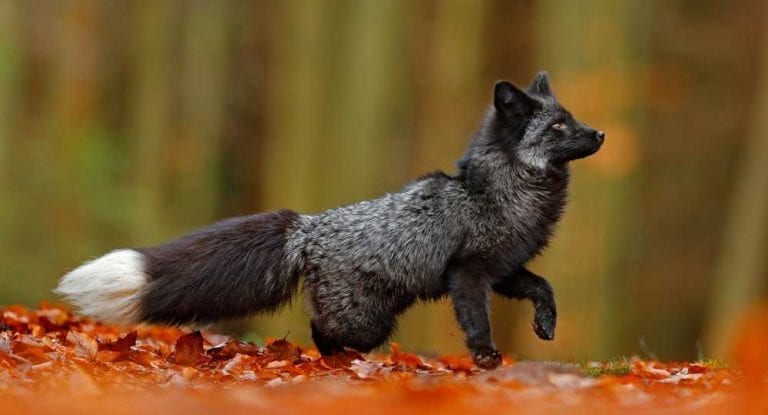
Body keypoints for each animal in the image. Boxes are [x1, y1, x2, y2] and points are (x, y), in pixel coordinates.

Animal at [56, 72, 604, 369]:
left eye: (573, 119)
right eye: (559, 127)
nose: (600, 134)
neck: (503, 192)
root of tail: (308, 227)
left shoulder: (504, 268)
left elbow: (543, 287)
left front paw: (546, 325)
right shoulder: (468, 274)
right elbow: (475, 321)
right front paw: (487, 357)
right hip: (366, 319)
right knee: (321, 331)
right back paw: (338, 363)